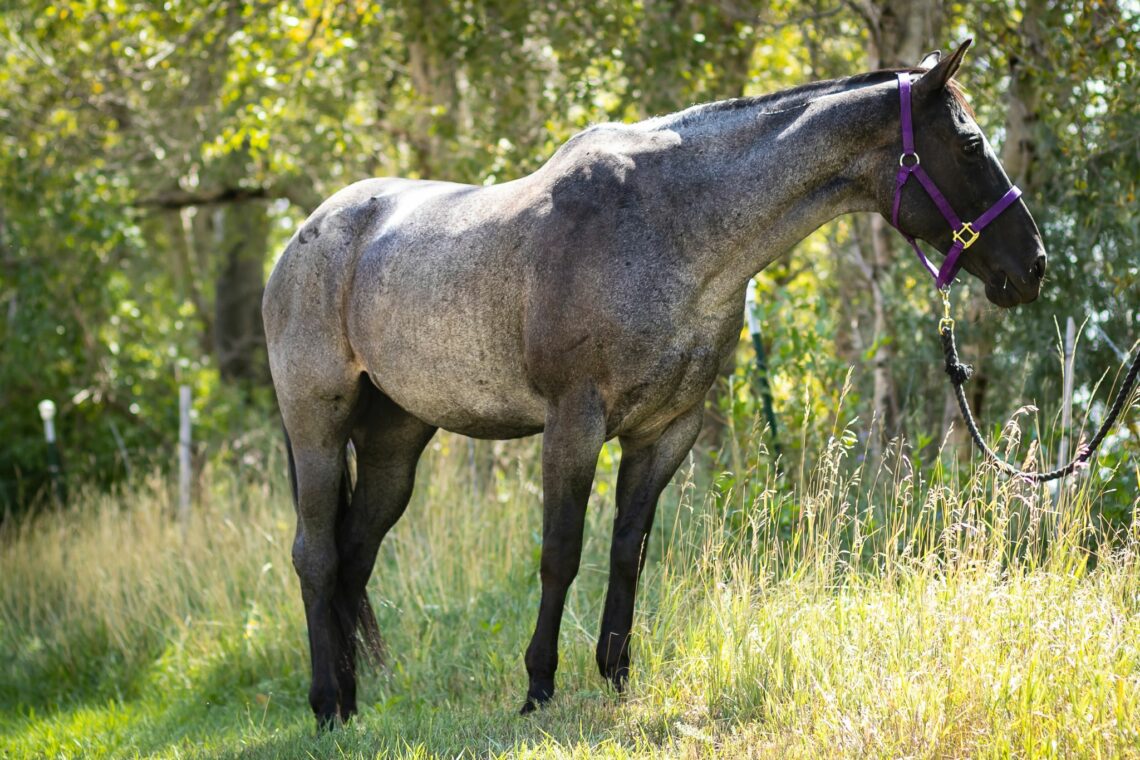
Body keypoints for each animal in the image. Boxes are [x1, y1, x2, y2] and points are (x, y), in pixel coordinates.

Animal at [262, 40, 1047, 727]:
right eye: (970, 145)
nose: (1034, 265)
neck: (670, 227)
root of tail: (309, 234)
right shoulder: (573, 425)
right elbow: (560, 554)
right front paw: (538, 687)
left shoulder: (667, 430)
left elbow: (627, 552)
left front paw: (615, 676)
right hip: (317, 424)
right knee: (316, 556)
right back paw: (326, 706)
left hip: (396, 439)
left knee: (354, 558)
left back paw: (352, 702)